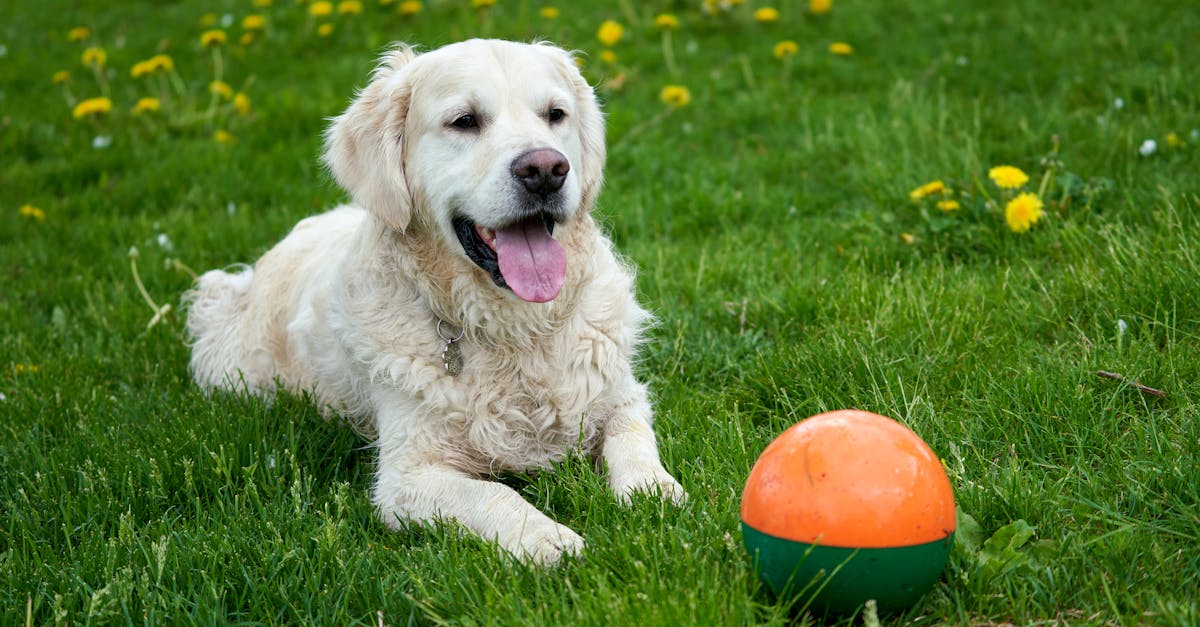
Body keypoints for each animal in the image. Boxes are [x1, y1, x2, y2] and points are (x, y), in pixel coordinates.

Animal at [180, 39, 686, 564]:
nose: (546, 169)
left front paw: (652, 491)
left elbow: (632, 438)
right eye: (464, 121)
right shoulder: (407, 478)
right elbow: (494, 493)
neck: (514, 331)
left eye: (555, 114)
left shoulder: (621, 393)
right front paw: (546, 538)